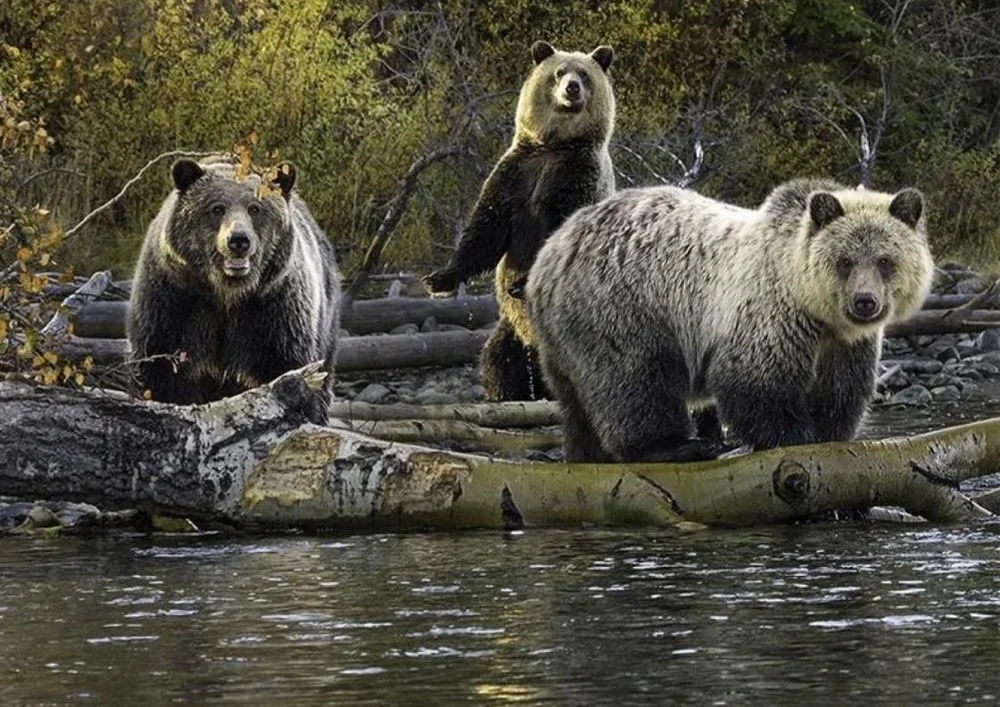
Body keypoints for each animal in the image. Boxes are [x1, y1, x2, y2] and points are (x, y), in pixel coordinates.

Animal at [126, 156, 341, 423]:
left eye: (255, 208)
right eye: (217, 208)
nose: (238, 240)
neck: (226, 293)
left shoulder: (273, 311)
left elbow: (287, 366)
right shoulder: (175, 302)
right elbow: (159, 372)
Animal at [422, 40, 616, 402]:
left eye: (584, 74)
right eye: (558, 72)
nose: (572, 89)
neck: (556, 145)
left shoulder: (576, 175)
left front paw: (522, 281)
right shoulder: (516, 173)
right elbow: (486, 230)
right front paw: (439, 279)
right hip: (513, 331)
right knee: (498, 361)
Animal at [526, 178, 935, 462]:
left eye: (885, 260)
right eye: (845, 260)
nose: (865, 302)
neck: (813, 306)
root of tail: (549, 252)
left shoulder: (844, 342)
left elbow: (841, 389)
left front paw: (829, 431)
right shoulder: (769, 312)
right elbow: (755, 380)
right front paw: (792, 434)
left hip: (564, 341)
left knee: (577, 405)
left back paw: (586, 453)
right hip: (620, 305)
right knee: (633, 381)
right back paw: (674, 445)